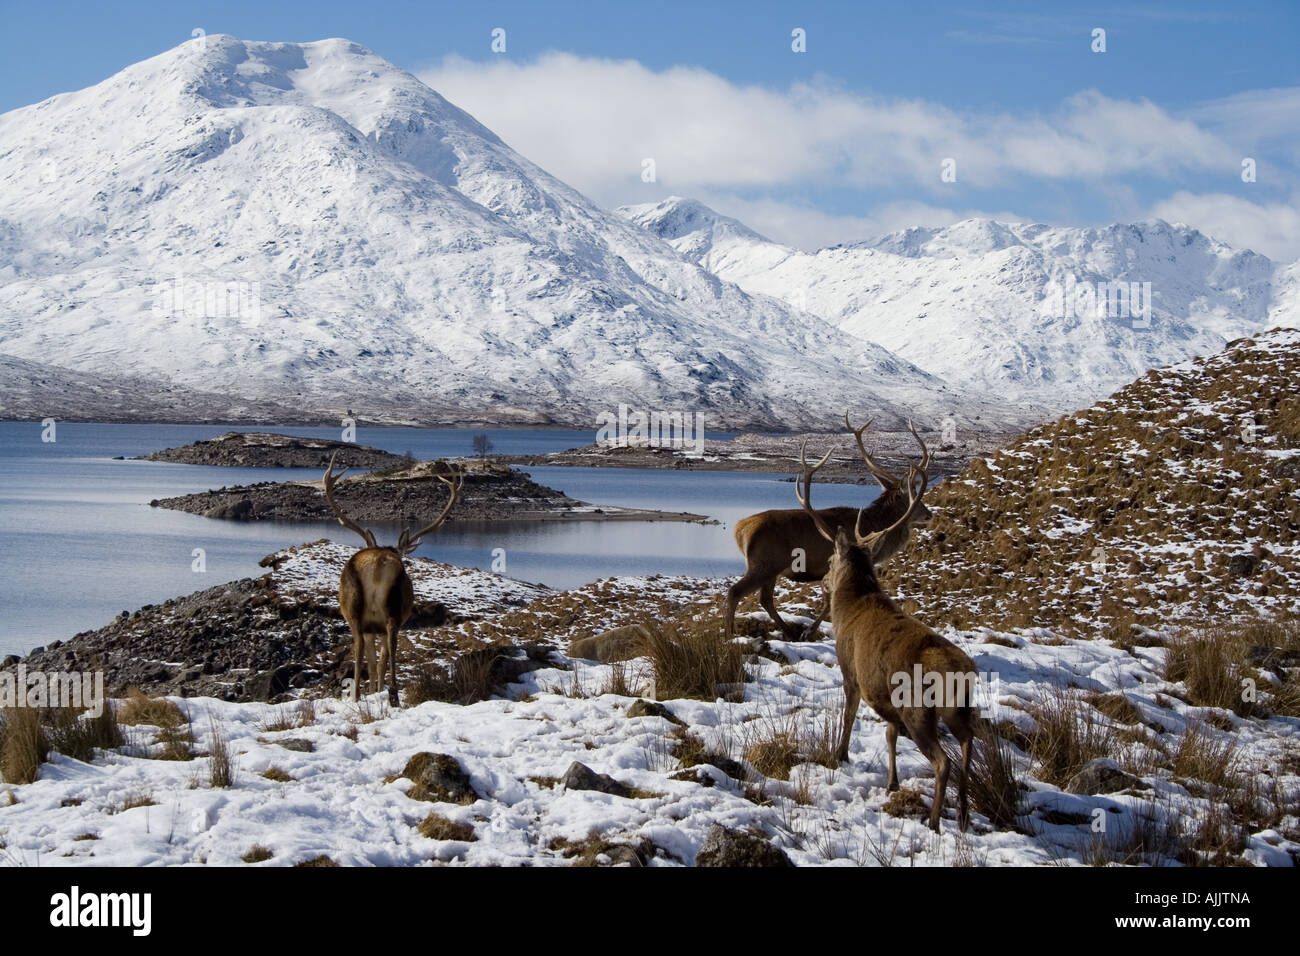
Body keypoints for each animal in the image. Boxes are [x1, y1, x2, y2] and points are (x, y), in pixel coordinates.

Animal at [321, 451, 464, 706]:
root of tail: (378, 562)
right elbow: (378, 660)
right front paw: (376, 691)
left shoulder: (369, 627)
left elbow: (373, 660)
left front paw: (372, 691)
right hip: (393, 612)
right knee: (391, 648)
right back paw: (391, 696)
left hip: (362, 610)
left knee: (365, 649)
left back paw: (362, 696)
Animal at [724, 414, 933, 641]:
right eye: (916, 497)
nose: (929, 514)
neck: (875, 523)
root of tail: (740, 529)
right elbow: (828, 602)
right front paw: (809, 631)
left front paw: (807, 631)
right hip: (764, 563)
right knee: (736, 591)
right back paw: (729, 634)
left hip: (770, 569)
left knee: (765, 599)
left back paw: (787, 631)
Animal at [794, 433, 975, 831]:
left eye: (830, 558)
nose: (824, 581)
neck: (852, 607)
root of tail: (962, 673)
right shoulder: (885, 699)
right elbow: (890, 734)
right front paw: (892, 782)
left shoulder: (851, 669)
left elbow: (848, 714)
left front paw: (840, 754)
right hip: (961, 708)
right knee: (969, 745)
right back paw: (964, 813)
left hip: (919, 708)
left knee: (943, 760)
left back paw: (935, 821)